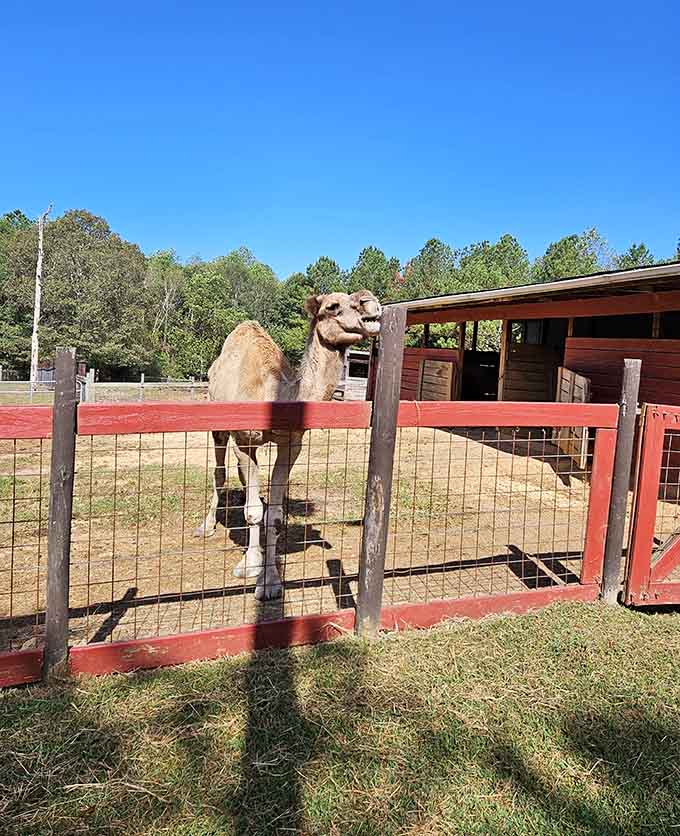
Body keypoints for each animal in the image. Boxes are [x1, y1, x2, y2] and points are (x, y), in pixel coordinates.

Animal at [195, 289, 382, 600]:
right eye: (332, 306)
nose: (371, 304)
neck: (277, 393)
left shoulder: (291, 444)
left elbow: (273, 514)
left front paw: (269, 580)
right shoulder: (244, 440)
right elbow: (253, 511)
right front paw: (251, 567)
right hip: (218, 425)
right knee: (219, 473)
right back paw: (206, 527)